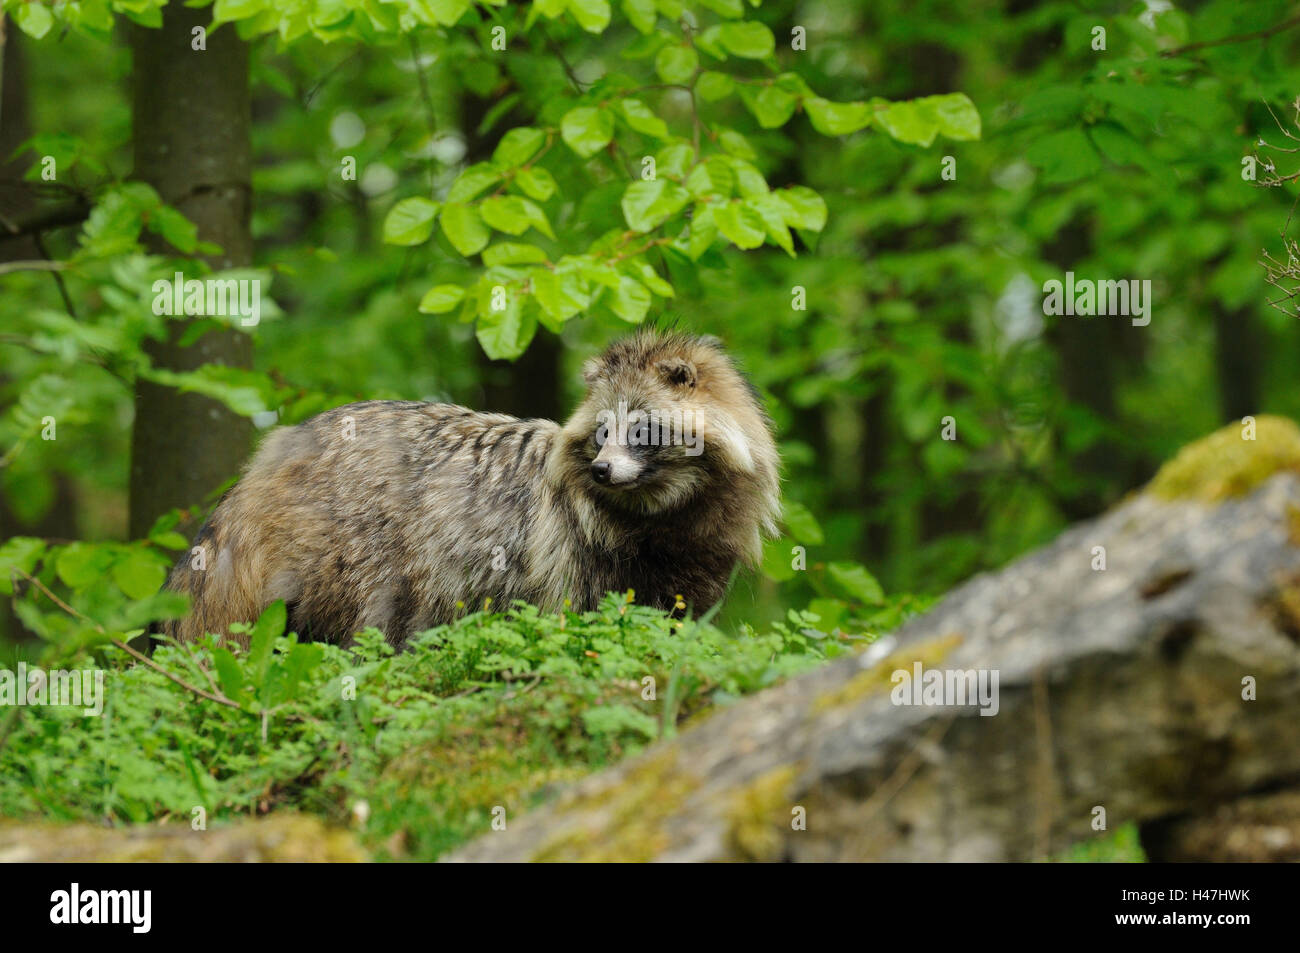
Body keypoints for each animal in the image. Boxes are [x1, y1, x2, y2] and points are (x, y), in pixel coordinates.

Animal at [158, 330, 780, 648]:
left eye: (642, 430)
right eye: (603, 432)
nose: (603, 470)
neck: (662, 507)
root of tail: (277, 454)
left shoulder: (696, 558)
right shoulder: (576, 554)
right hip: (353, 546)